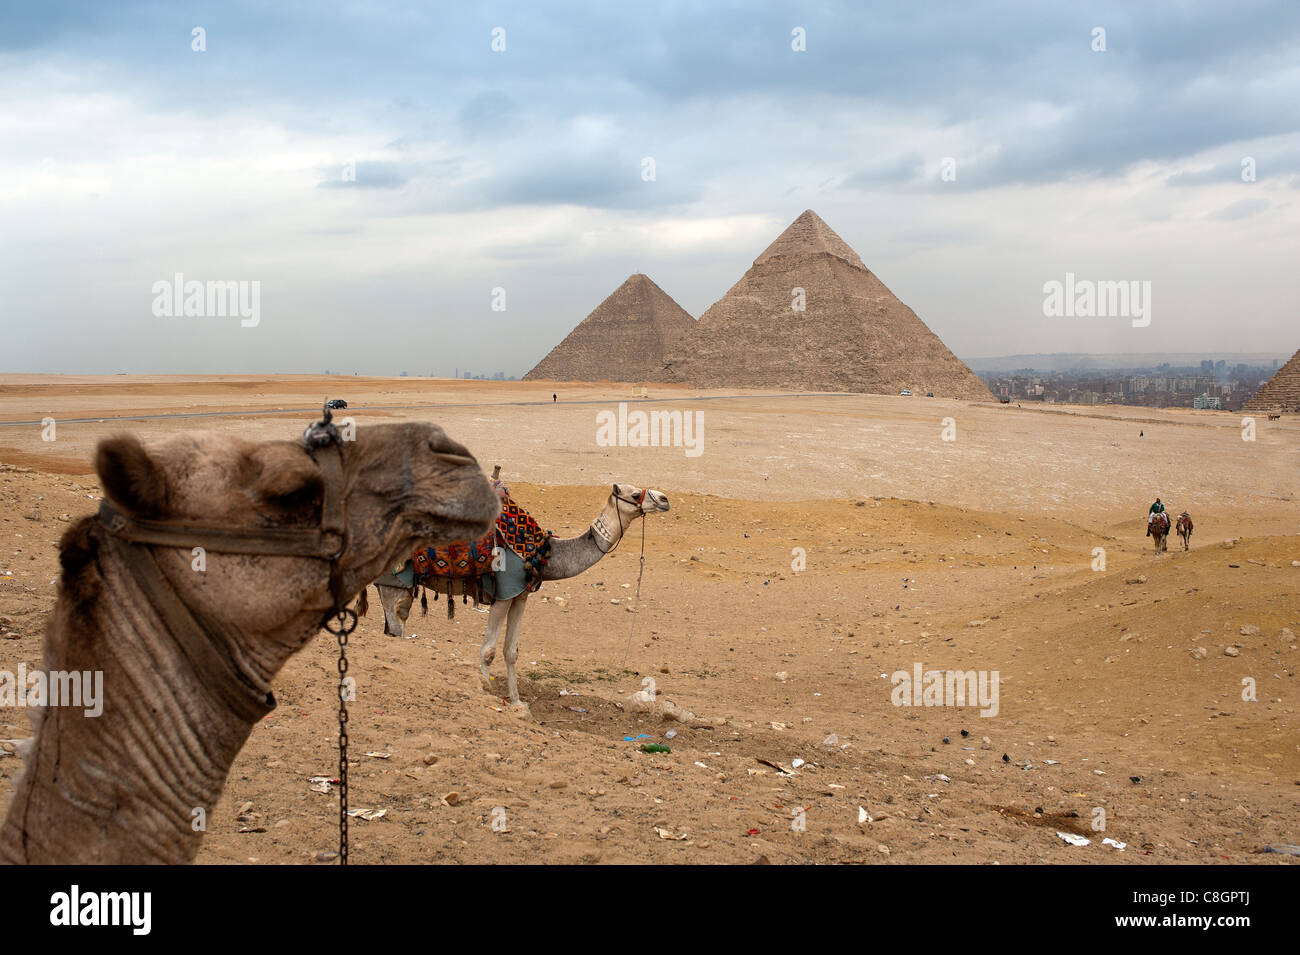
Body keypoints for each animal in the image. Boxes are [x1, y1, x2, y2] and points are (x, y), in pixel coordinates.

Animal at [365, 483, 670, 708]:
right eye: (634, 494)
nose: (665, 499)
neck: (540, 552)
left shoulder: (520, 597)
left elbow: (511, 651)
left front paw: (516, 701)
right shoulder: (503, 593)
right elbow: (488, 651)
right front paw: (486, 689)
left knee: (393, 627)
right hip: (394, 582)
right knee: (398, 624)